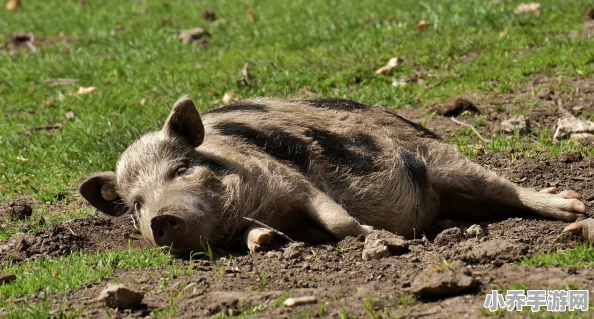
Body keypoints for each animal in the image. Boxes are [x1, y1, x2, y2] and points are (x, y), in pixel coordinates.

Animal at [80, 96, 592, 256]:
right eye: (135, 205)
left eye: (182, 167)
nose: (159, 219)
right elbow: (255, 235)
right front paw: (267, 242)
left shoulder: (289, 179)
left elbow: (337, 218)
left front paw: (377, 237)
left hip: (444, 159)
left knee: (507, 187)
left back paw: (571, 205)